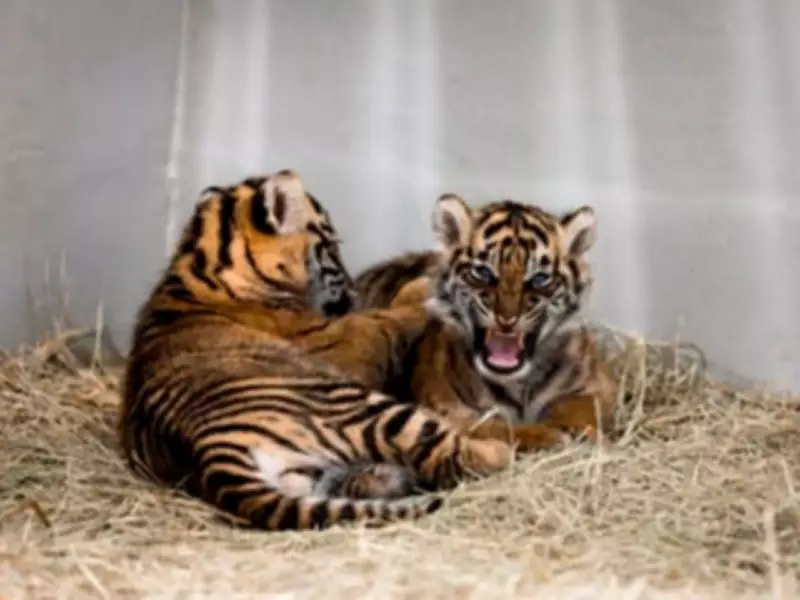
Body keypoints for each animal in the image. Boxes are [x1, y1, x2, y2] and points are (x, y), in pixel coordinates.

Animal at [118, 170, 511, 532]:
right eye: (331, 245)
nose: (353, 290)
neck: (199, 261)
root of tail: (207, 449)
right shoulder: (347, 341)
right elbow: (385, 318)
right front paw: (423, 288)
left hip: (306, 476)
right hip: (361, 405)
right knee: (444, 455)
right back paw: (500, 451)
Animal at [354, 192, 618, 451]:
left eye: (540, 279)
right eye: (482, 273)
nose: (507, 319)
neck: (518, 383)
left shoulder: (598, 385)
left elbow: (579, 409)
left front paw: (577, 433)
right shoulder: (446, 408)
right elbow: (496, 429)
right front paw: (545, 437)